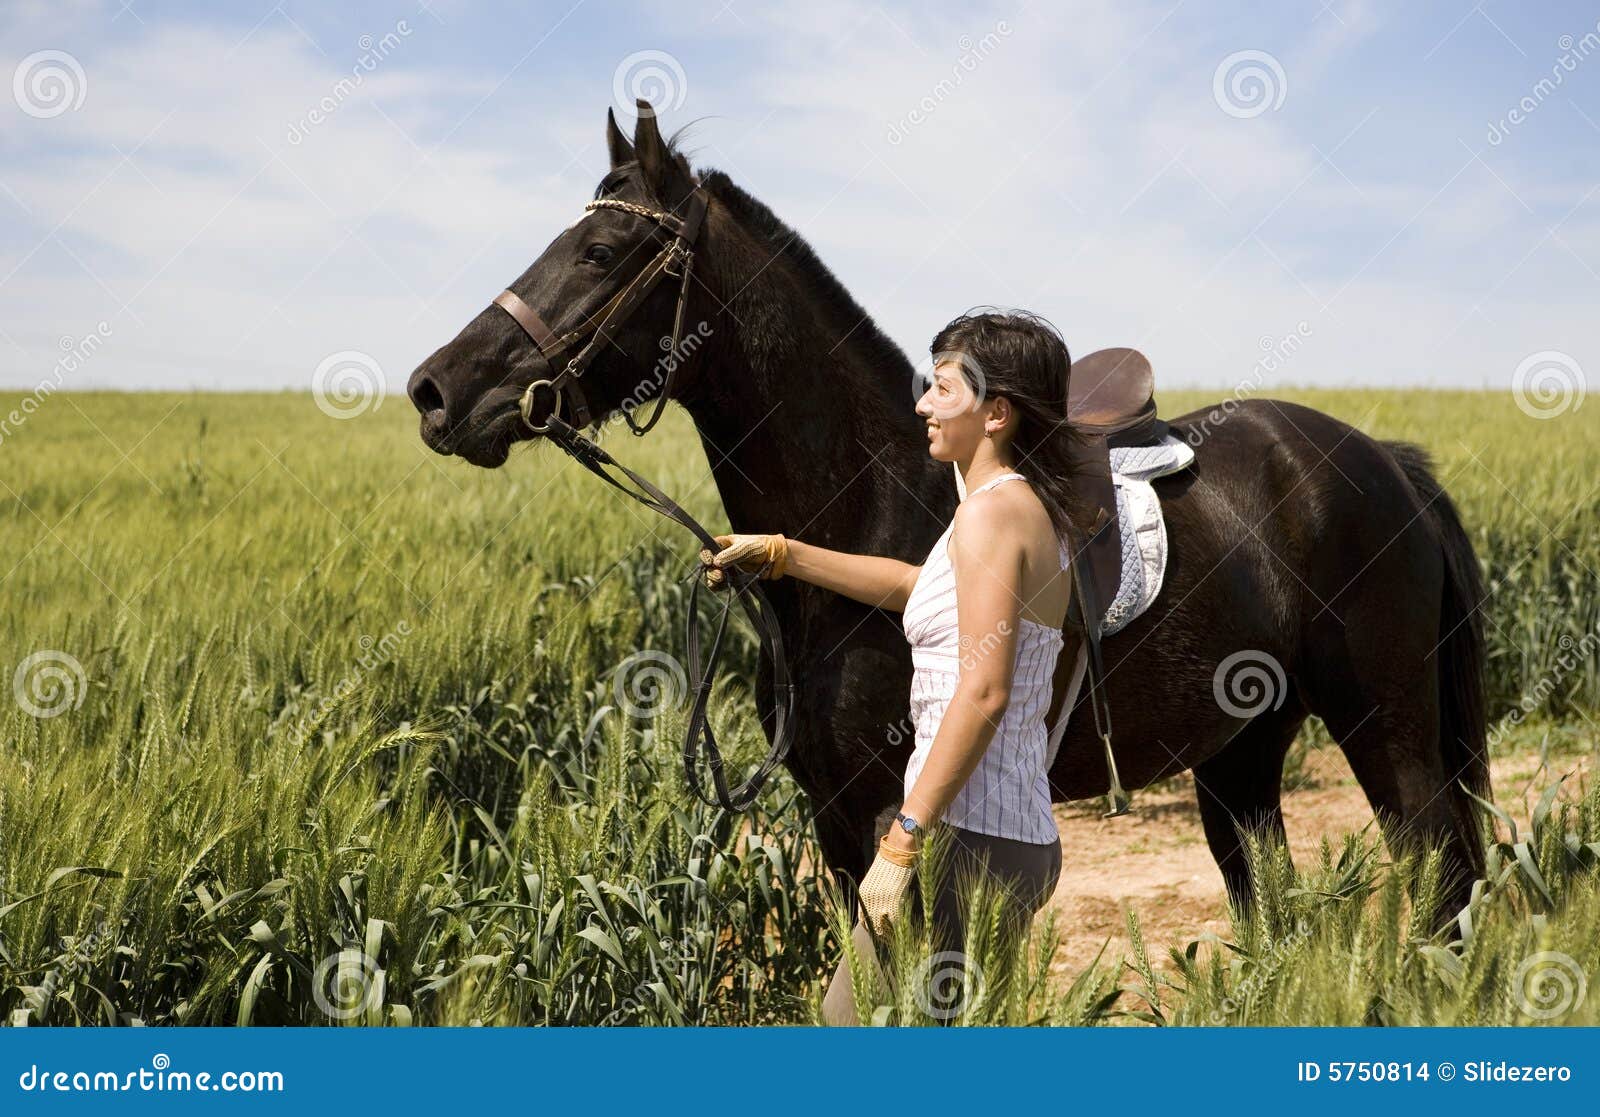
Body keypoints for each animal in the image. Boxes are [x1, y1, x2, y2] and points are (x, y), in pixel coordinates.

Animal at [406, 101, 1491, 923]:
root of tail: (1381, 462)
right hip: (1241, 753)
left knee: (1438, 874)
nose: (434, 391)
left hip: (1385, 726)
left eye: (598, 249)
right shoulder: (838, 822)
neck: (874, 503)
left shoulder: (900, 816)